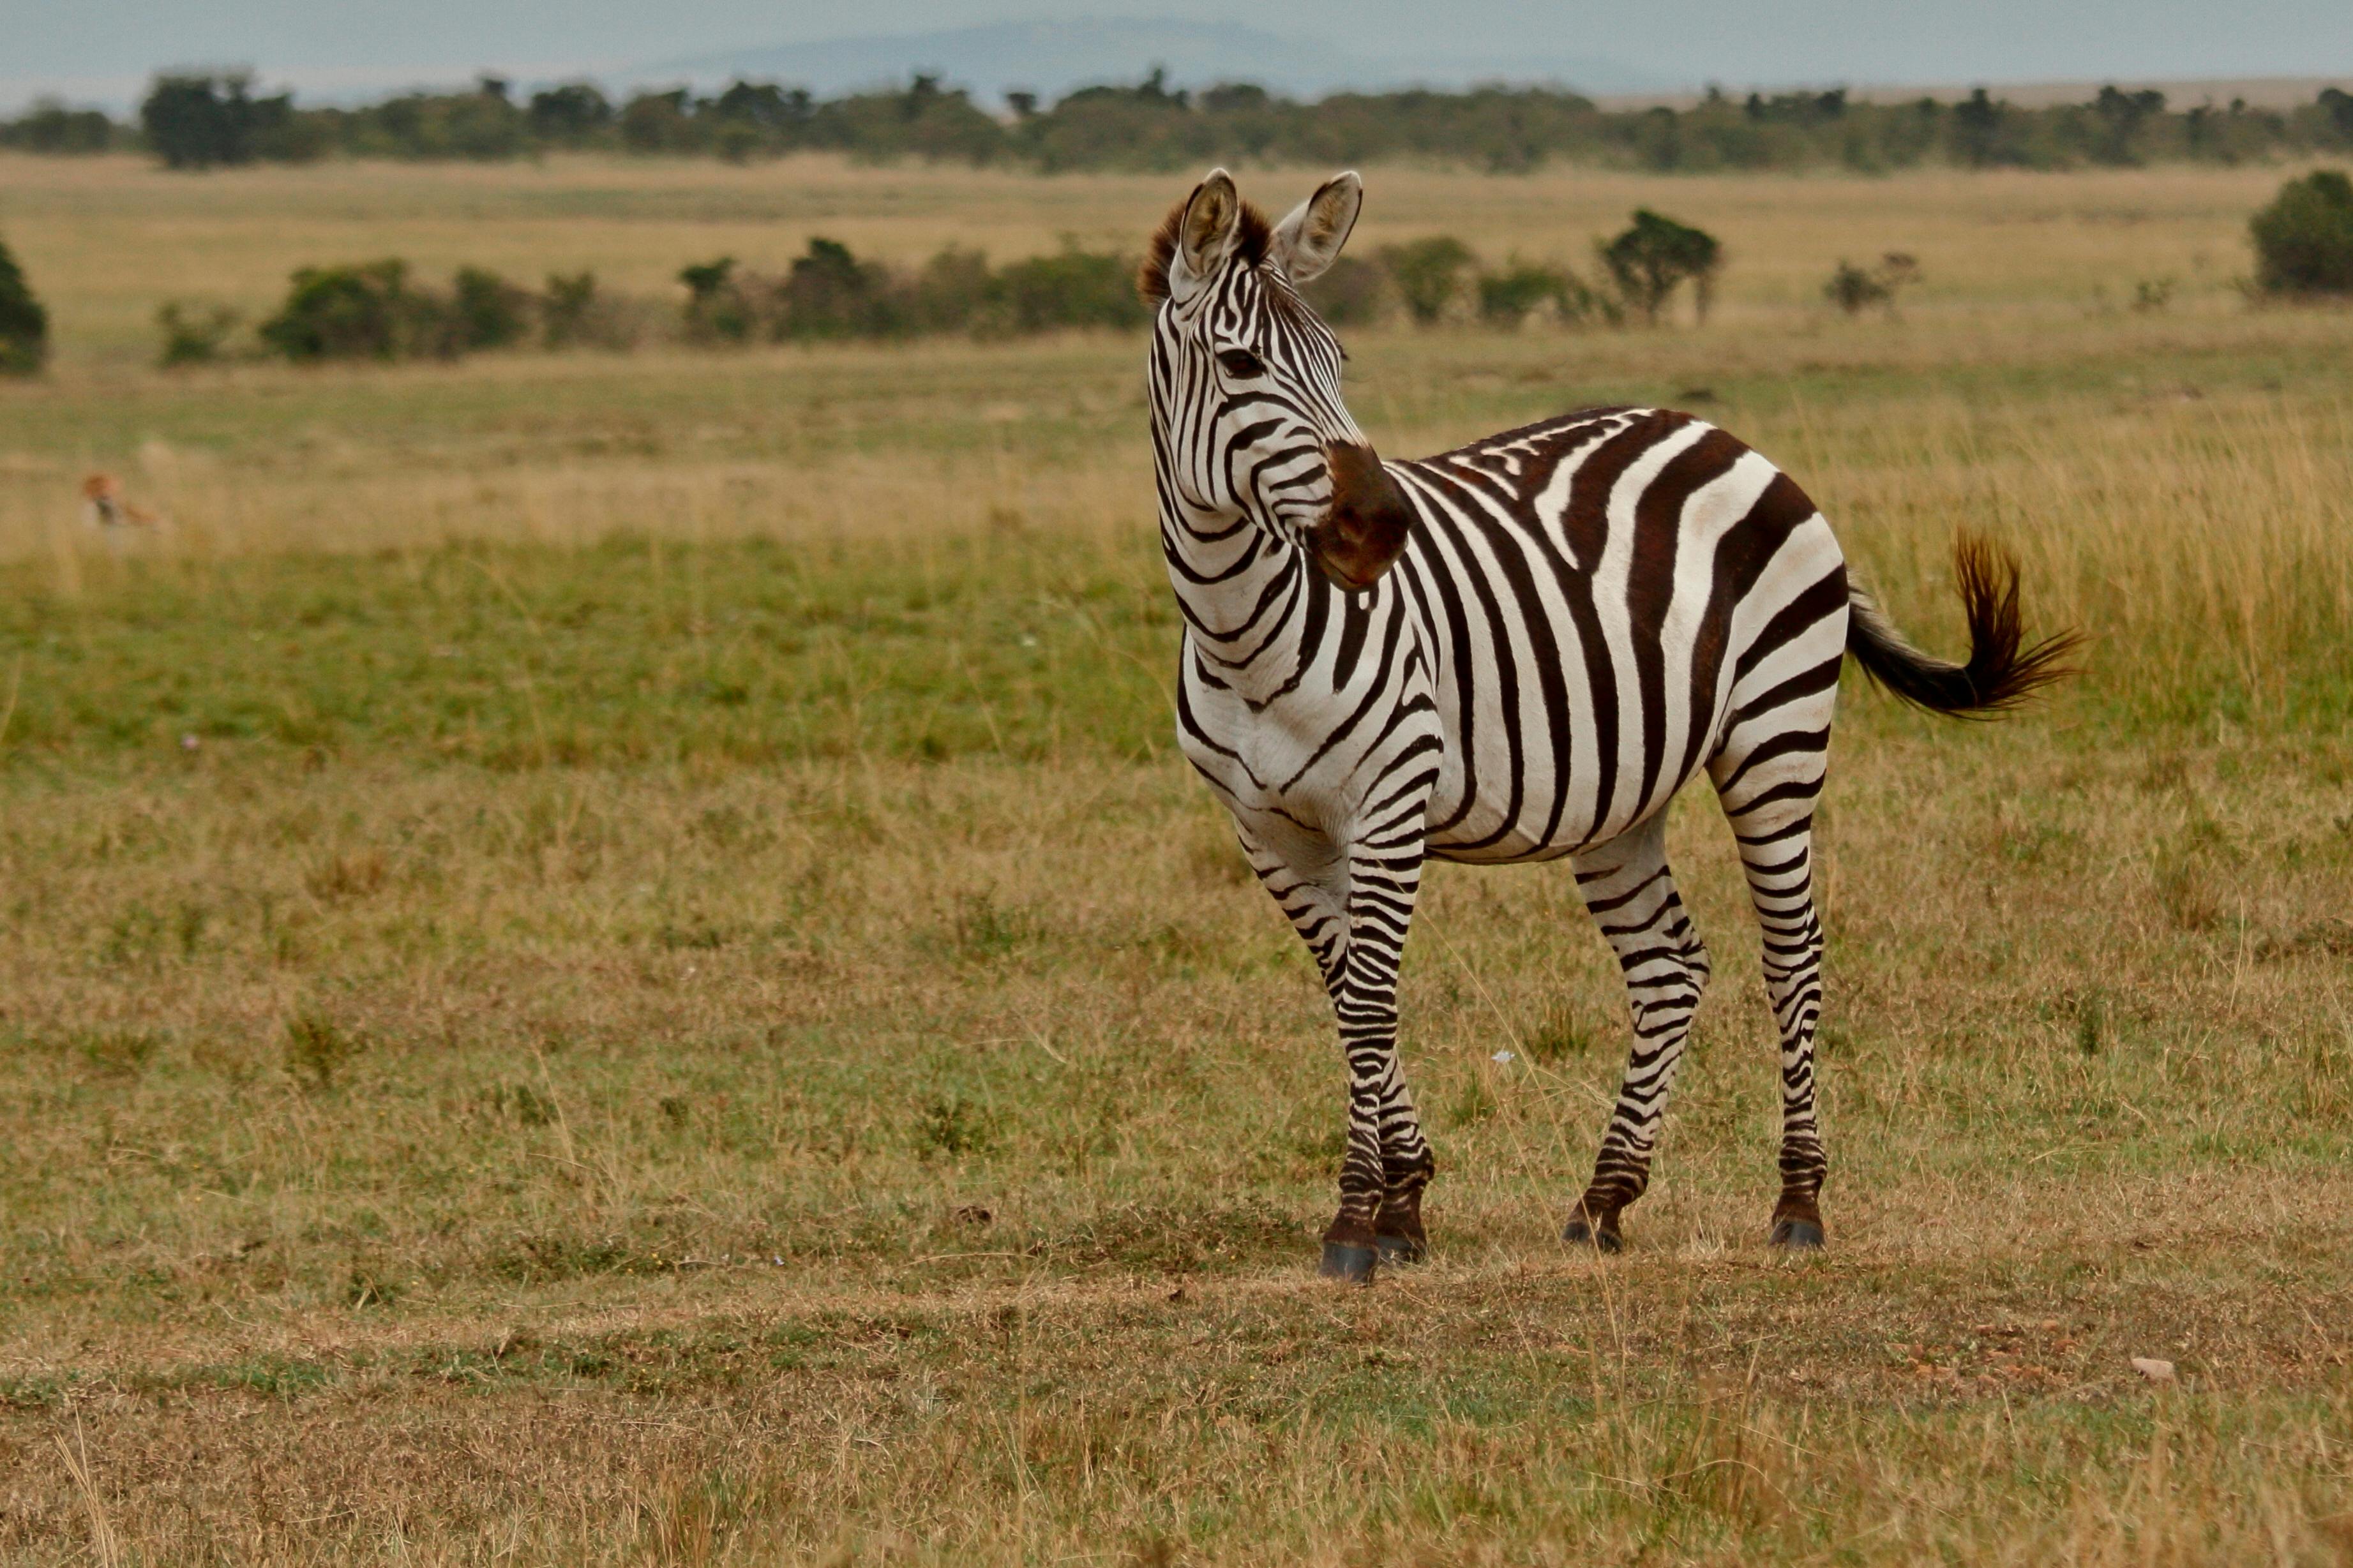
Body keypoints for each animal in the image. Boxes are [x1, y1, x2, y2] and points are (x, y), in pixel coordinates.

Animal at [1142, 170, 2075, 1282]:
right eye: (1241, 364)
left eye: (1338, 360)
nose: (1381, 528)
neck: (1245, 631)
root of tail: (1724, 437)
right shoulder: (1263, 829)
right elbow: (1343, 994)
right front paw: (1407, 1201)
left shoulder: (1388, 801)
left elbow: (1368, 999)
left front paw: (1358, 1219)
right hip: (1619, 794)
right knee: (1670, 966)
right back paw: (1603, 1199)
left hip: (1775, 736)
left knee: (1791, 954)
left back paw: (1797, 1202)